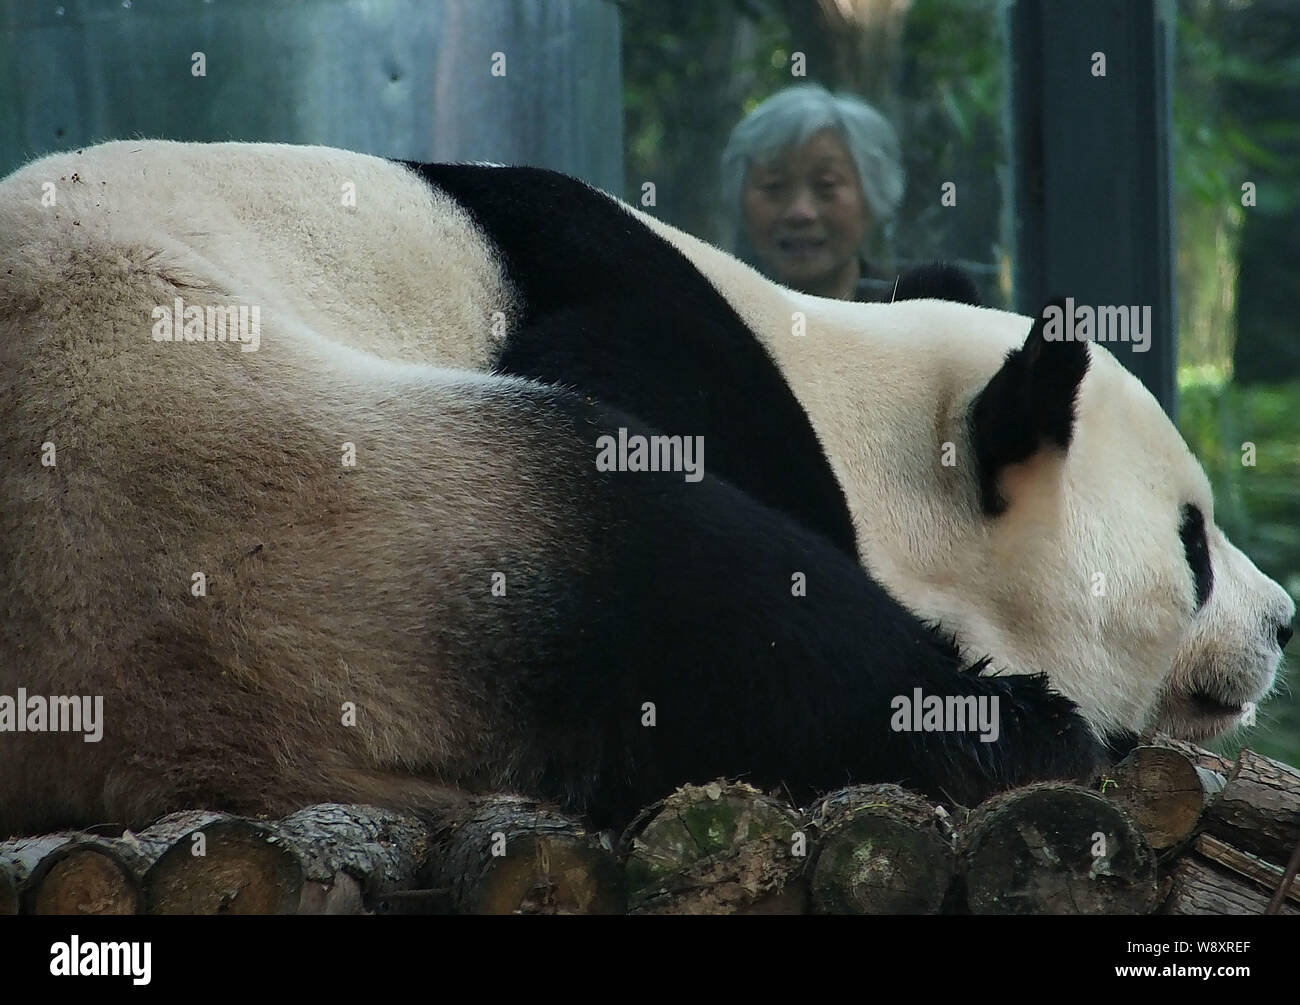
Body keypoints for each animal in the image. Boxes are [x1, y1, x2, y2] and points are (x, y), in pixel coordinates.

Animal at [0, 140, 1292, 836]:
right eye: (1192, 543)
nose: (1281, 619)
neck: (853, 407)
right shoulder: (655, 338)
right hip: (286, 486)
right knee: (682, 580)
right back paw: (1013, 729)